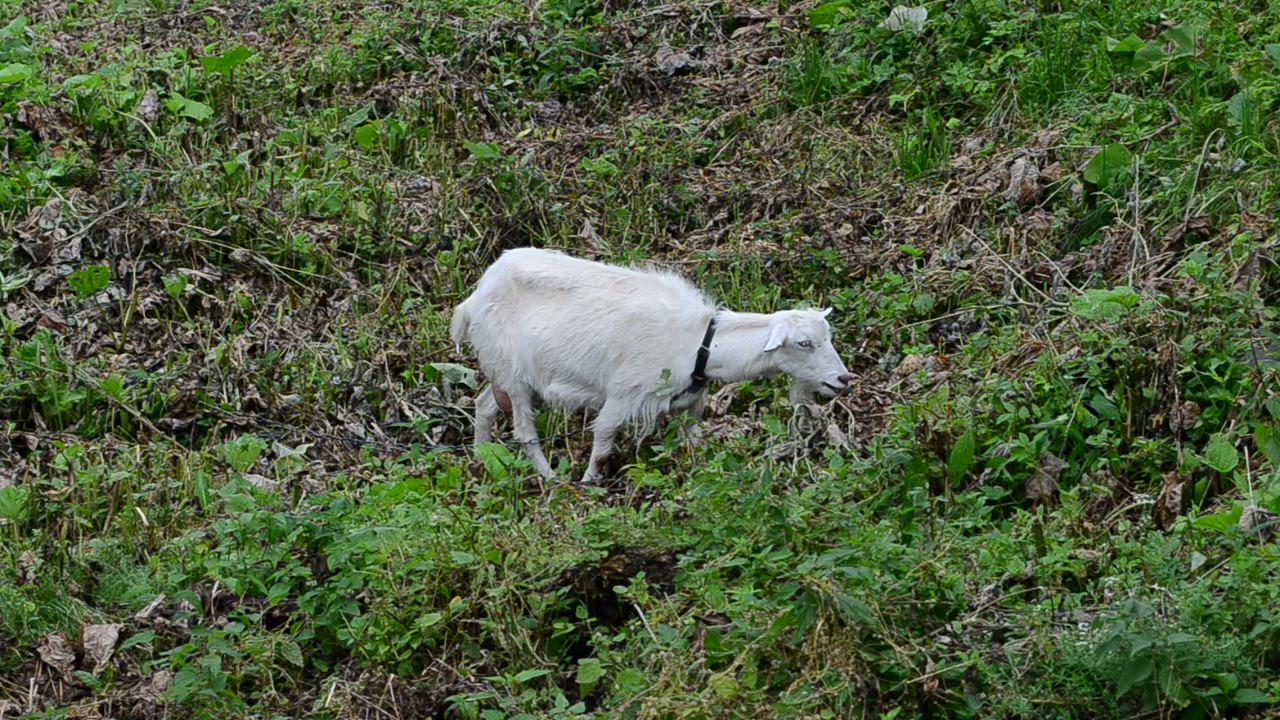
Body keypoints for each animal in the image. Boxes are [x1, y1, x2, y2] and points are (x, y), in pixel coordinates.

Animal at [450, 247, 851, 483]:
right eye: (804, 343)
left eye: (829, 336)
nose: (843, 378)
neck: (699, 342)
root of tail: (473, 299)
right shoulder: (624, 395)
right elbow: (603, 440)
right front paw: (590, 482)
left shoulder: (691, 403)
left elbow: (692, 439)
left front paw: (699, 469)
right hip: (514, 374)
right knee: (524, 430)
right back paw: (549, 477)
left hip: (502, 371)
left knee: (484, 406)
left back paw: (482, 460)